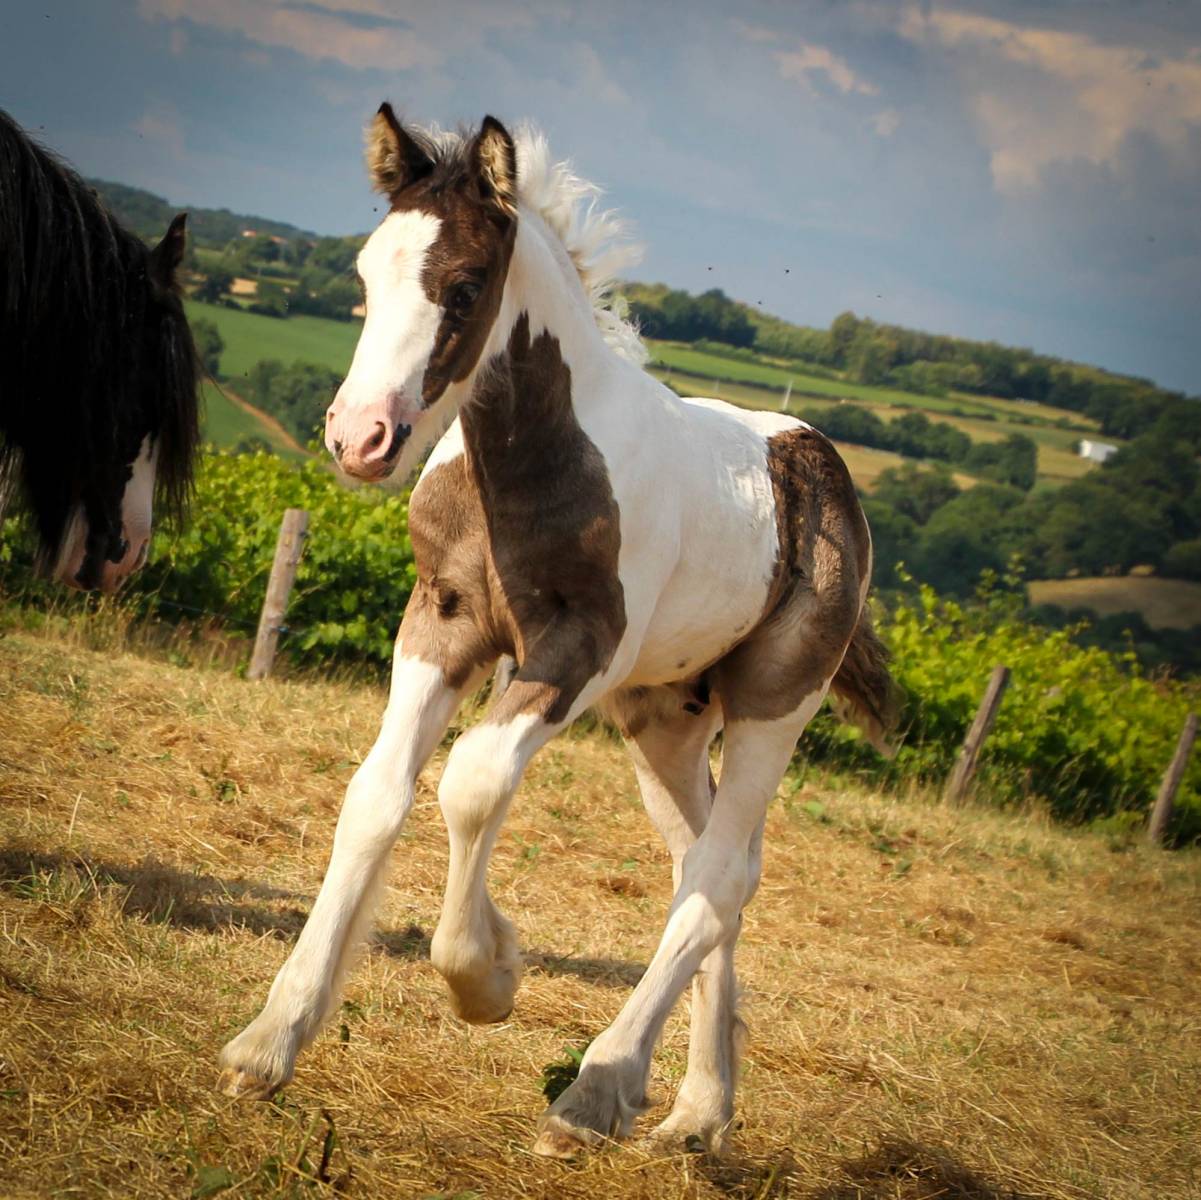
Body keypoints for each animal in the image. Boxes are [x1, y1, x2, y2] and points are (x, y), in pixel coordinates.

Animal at [219, 106, 897, 1158]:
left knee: (721, 871)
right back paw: (697, 1110)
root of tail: (820, 463)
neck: (529, 464)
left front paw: (490, 975)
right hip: (663, 718)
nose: (358, 438)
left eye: (464, 285)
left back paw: (595, 1093)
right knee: (706, 872)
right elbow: (376, 795)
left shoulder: (578, 650)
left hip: (773, 701)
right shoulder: (442, 624)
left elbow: (470, 782)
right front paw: (269, 1041)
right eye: (364, 276)